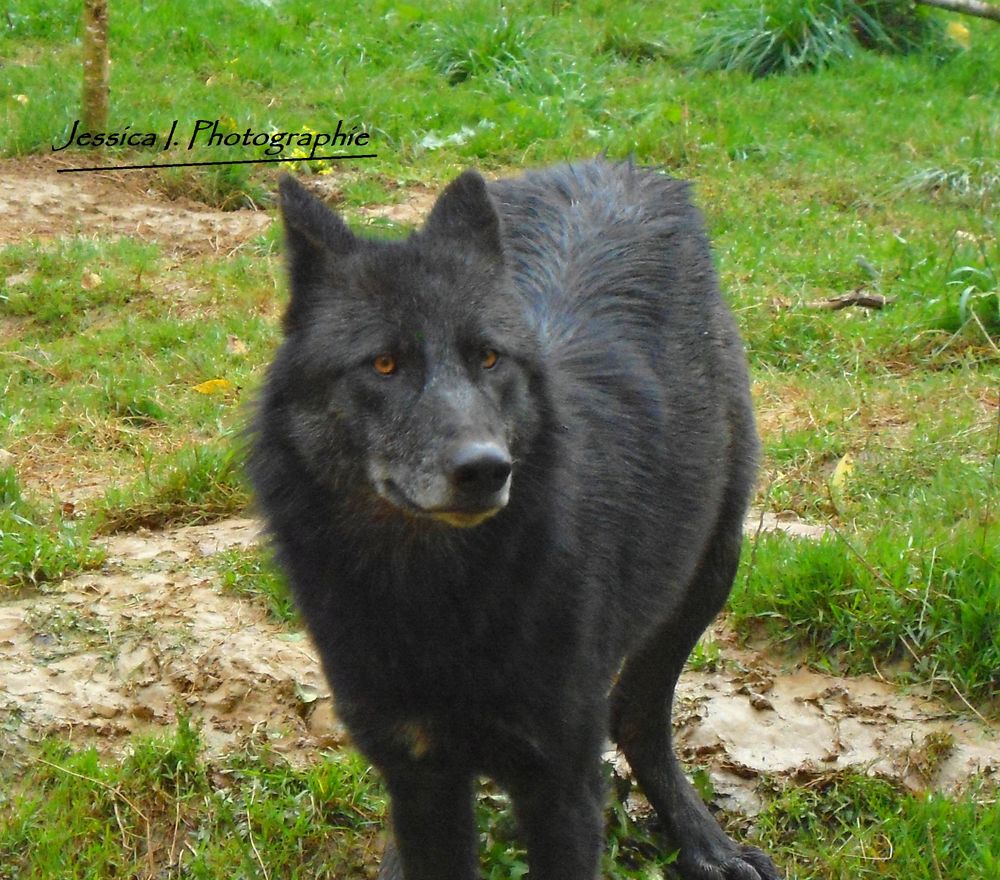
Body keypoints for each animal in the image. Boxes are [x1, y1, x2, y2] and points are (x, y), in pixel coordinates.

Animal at [248, 159, 779, 880]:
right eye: (384, 364)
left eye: (489, 358)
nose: (485, 468)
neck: (435, 595)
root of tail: (615, 166)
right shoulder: (419, 772)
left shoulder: (562, 785)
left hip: (712, 569)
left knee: (637, 716)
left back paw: (704, 845)